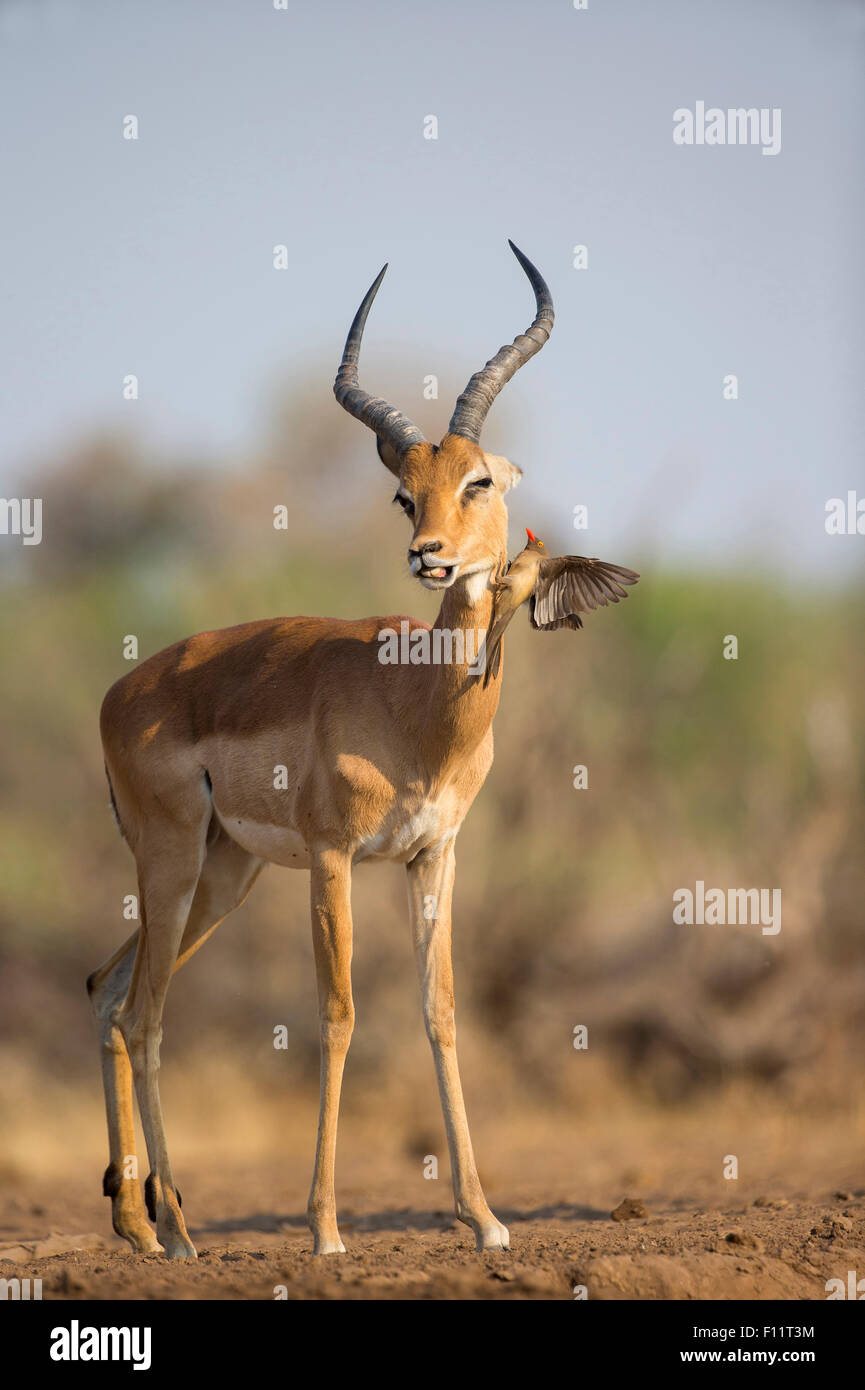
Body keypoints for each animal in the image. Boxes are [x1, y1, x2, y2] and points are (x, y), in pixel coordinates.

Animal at [88, 241, 556, 1260]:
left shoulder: (433, 856)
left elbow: (440, 1010)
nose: (430, 555)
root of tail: (121, 692)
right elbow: (338, 1016)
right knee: (144, 1015)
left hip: (224, 875)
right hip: (174, 863)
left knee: (106, 991)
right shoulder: (334, 859)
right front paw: (328, 1229)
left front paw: (485, 1218)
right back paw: (179, 1232)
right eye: (404, 493)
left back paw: (138, 1226)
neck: (414, 707)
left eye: (479, 481)